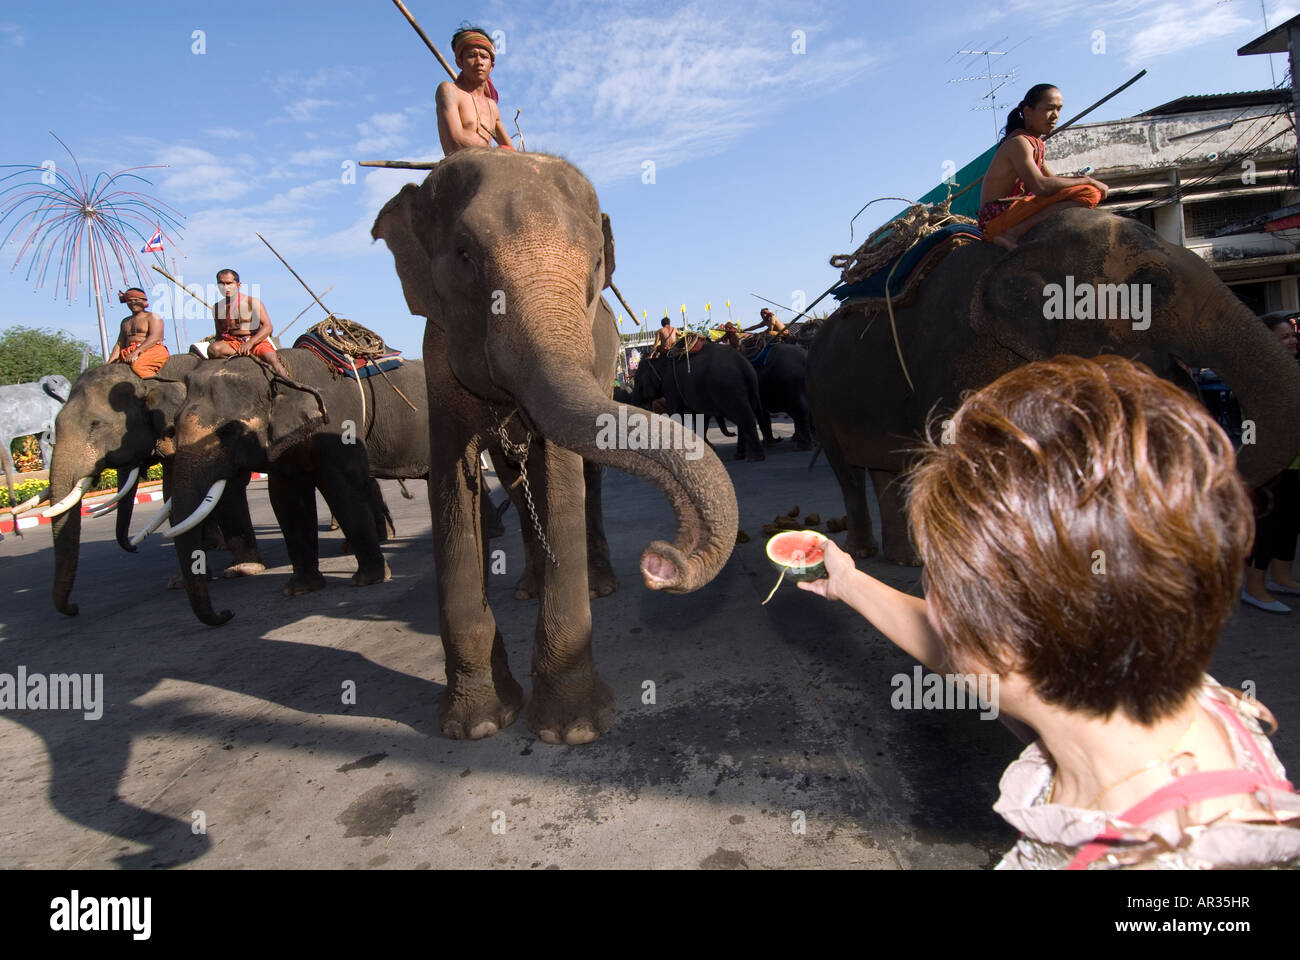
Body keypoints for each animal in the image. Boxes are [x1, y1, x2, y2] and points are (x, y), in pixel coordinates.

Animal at [46, 355, 264, 617]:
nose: (75, 608)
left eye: (95, 425)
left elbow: (224, 487)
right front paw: (180, 582)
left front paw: (242, 569)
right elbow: (170, 492)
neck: (149, 378)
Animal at [165, 348, 433, 625]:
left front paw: (369, 580)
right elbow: (286, 500)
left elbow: (343, 487)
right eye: (173, 426)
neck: (282, 373)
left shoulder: (338, 423)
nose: (227, 613)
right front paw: (300, 589)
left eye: (228, 430)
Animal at [371, 147, 738, 745]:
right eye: (464, 256)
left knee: (586, 483)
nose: (663, 561)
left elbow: (562, 478)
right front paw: (476, 725)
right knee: (516, 488)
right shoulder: (438, 365)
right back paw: (527, 587)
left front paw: (573, 731)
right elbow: (451, 490)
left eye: (594, 267)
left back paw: (602, 584)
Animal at [628, 341, 770, 460]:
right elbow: (702, 417)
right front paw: (709, 449)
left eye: (638, 382)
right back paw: (740, 456)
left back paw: (755, 457)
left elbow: (677, 414)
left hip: (728, 389)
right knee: (743, 418)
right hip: (747, 390)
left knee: (744, 417)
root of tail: (745, 366)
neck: (658, 360)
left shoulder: (671, 386)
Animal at [807, 206, 1300, 564]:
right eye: (1152, 284)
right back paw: (865, 552)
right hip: (823, 403)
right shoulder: (956, 363)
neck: (1023, 247)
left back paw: (904, 560)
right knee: (849, 472)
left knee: (885, 472)